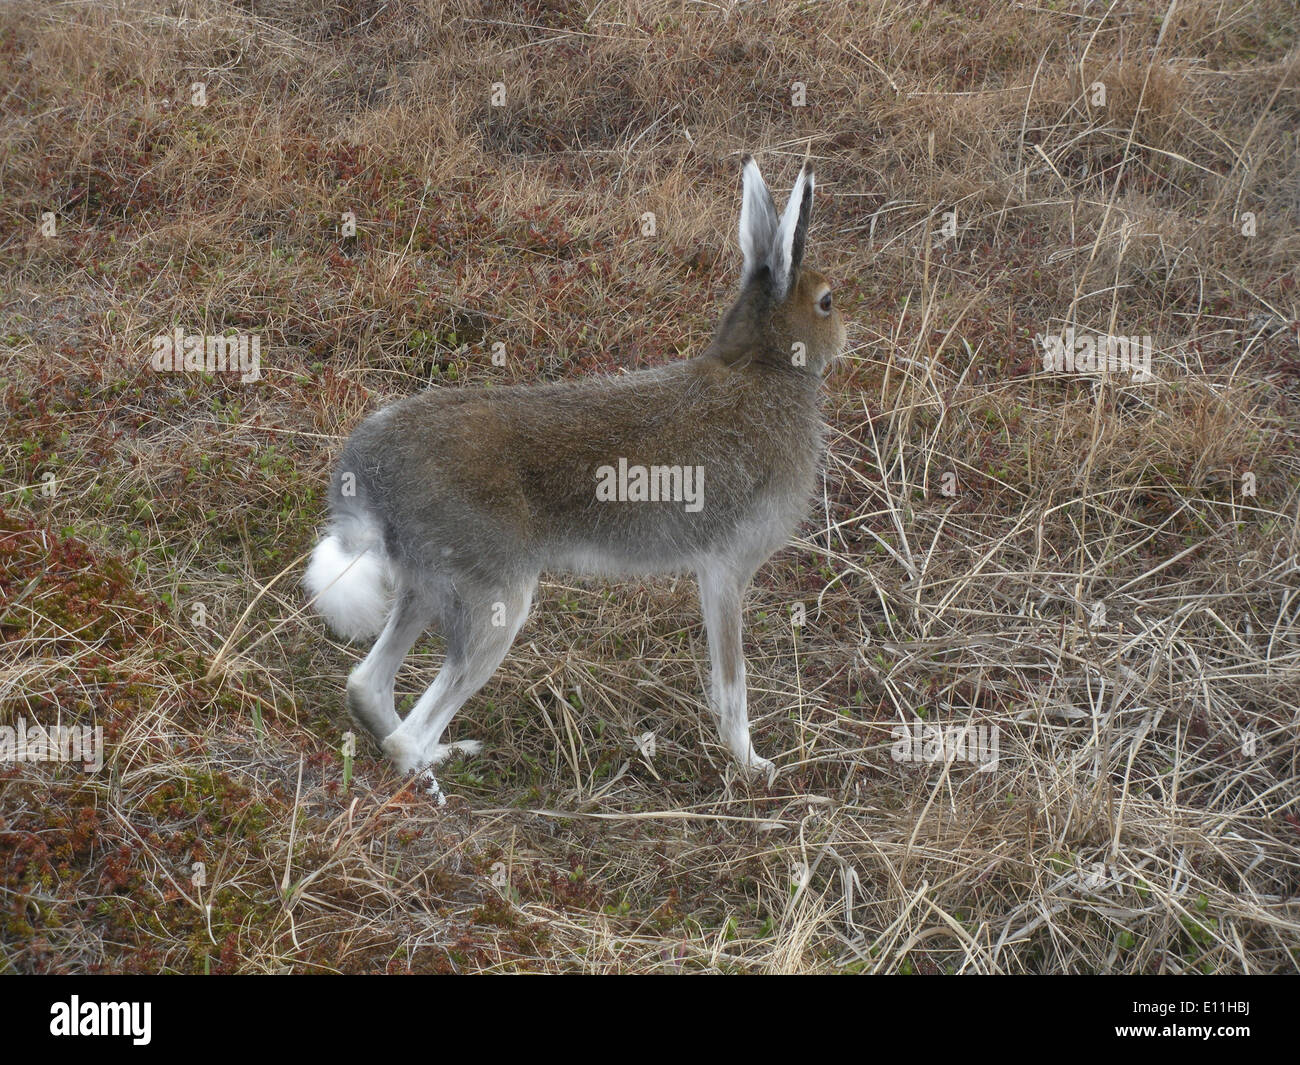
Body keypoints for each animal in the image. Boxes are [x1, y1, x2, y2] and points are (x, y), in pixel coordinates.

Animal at [304, 155, 847, 800]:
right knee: (407, 733)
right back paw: (432, 777)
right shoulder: (727, 569)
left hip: (427, 585)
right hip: (495, 596)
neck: (764, 365)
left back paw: (443, 754)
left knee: (368, 685)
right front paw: (753, 766)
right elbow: (732, 684)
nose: (846, 337)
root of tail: (371, 470)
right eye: (827, 301)